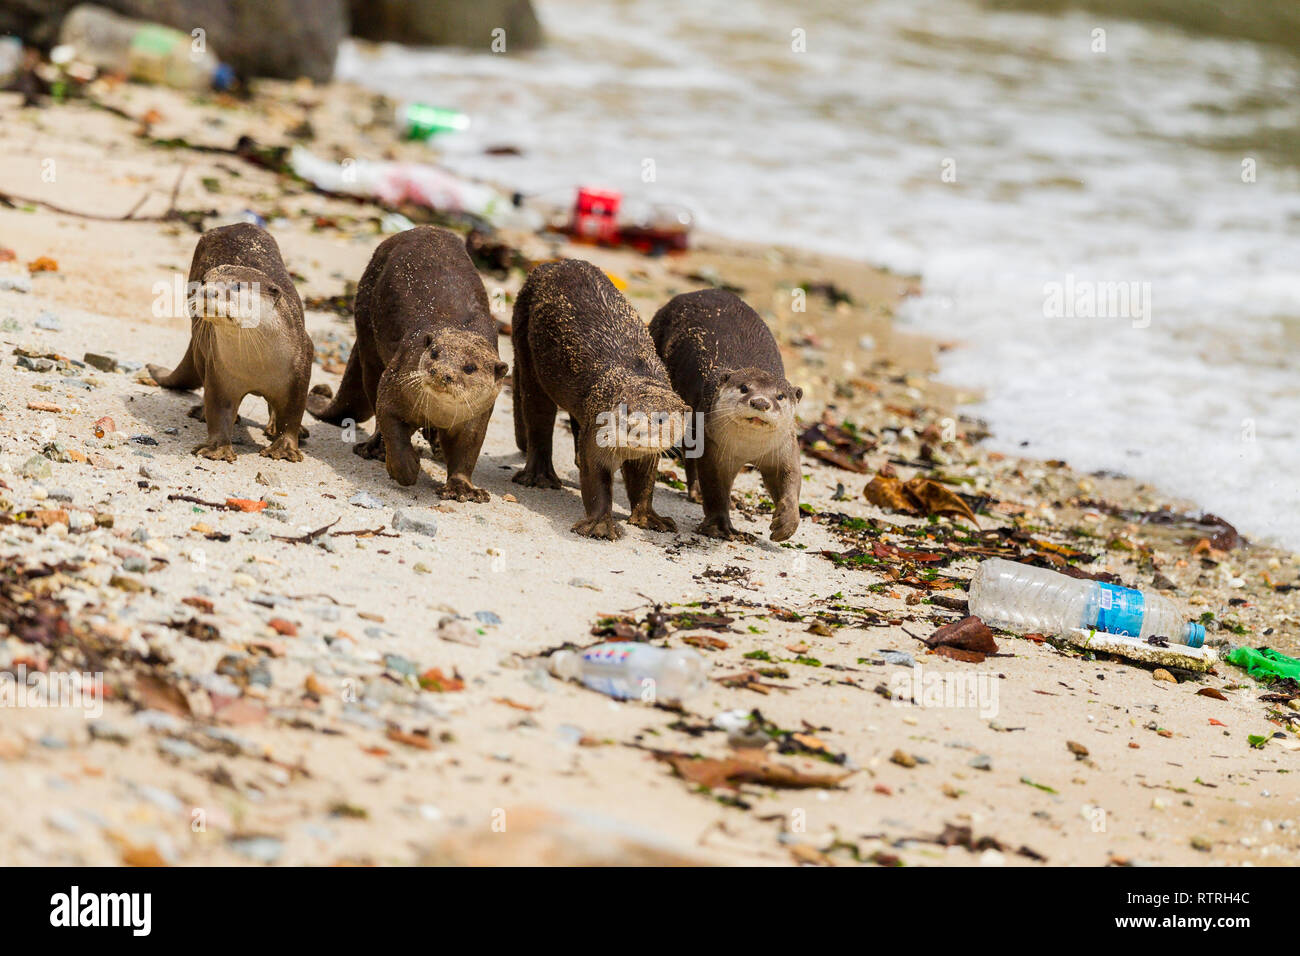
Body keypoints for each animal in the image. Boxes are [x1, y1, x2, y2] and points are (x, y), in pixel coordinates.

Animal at [147, 222, 311, 462]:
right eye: (204, 281)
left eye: (238, 287)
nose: (207, 292)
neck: (258, 366)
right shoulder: (219, 371)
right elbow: (219, 409)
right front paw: (217, 448)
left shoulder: (301, 365)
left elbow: (292, 414)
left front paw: (284, 448)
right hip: (201, 351)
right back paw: (202, 413)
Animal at [307, 227, 507, 499]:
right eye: (435, 353)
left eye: (469, 368)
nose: (441, 373)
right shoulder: (393, 388)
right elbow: (390, 427)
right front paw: (407, 468)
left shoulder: (476, 419)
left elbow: (467, 452)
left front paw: (463, 489)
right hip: (367, 330)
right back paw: (374, 449)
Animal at [511, 259, 689, 540]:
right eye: (625, 411)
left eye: (661, 419)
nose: (635, 429)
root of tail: (549, 265)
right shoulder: (597, 430)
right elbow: (596, 480)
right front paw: (600, 526)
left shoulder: (648, 455)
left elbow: (644, 481)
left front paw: (650, 519)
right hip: (526, 344)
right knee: (539, 415)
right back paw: (540, 477)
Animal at [649, 289, 803, 541]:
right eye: (744, 388)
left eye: (780, 396)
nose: (760, 402)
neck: (749, 449)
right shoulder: (714, 449)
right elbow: (716, 488)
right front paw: (720, 526)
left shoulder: (785, 448)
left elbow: (790, 480)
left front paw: (786, 523)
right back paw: (698, 493)